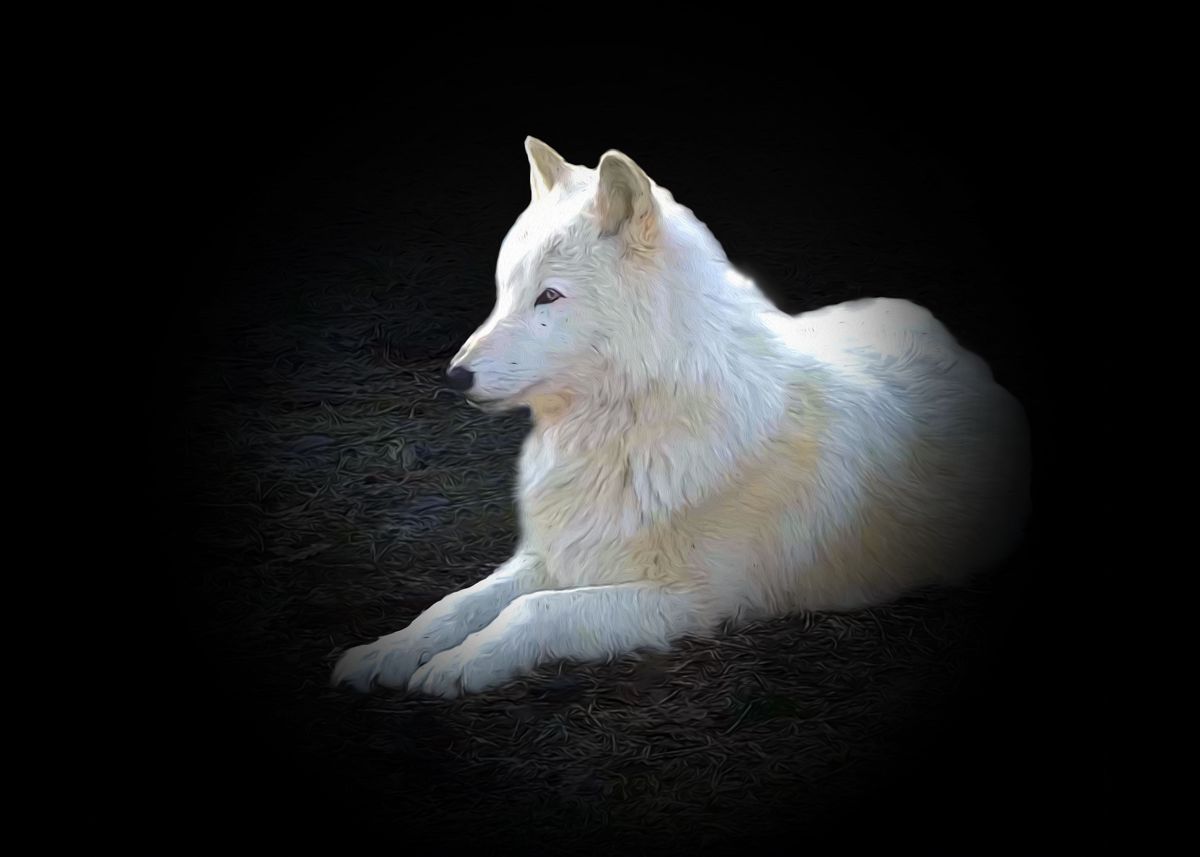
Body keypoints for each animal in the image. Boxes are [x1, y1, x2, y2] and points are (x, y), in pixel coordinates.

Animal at [331, 137, 1031, 698]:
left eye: (549, 297)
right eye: (506, 291)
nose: (454, 377)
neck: (627, 434)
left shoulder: (686, 602)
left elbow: (533, 612)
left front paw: (458, 666)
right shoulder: (556, 555)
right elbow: (454, 604)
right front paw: (389, 651)